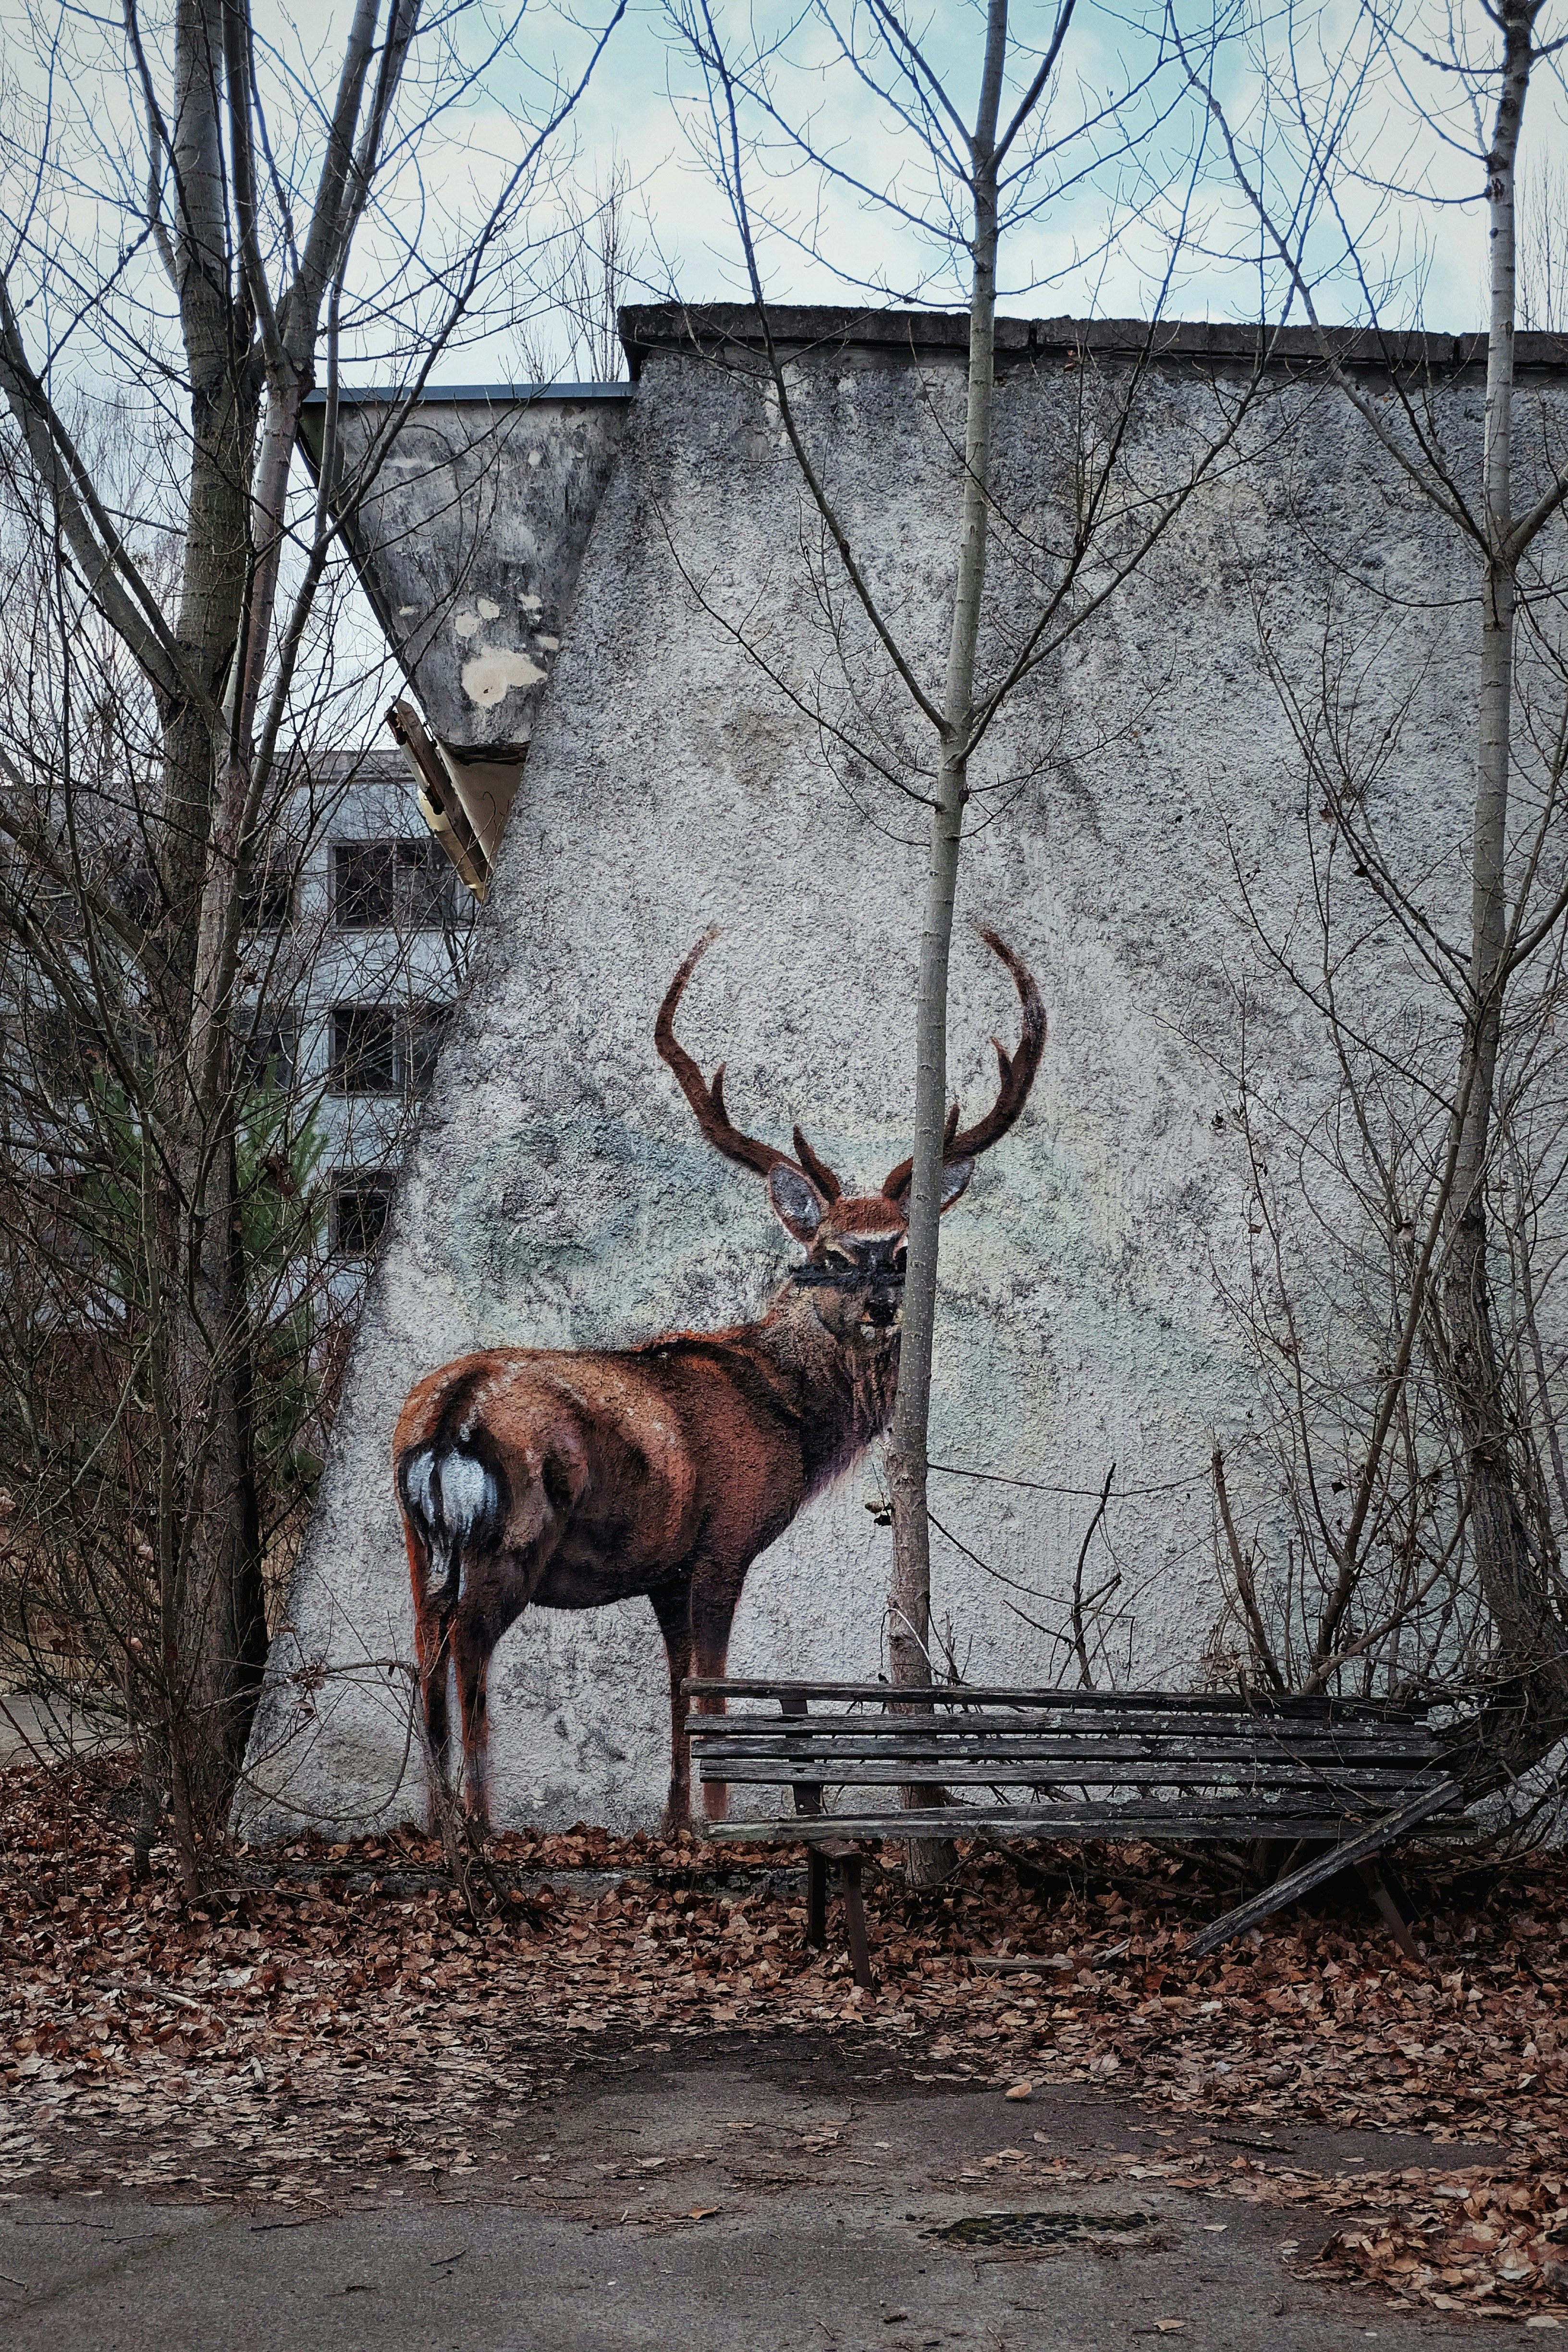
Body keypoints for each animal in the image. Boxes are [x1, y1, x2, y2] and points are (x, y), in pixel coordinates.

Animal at [393, 924, 1045, 1833]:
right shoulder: (723, 1544)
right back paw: (481, 1829)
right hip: (507, 1539)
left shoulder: (666, 1571)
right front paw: (716, 1820)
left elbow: (679, 1694)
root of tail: (447, 1415)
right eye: (830, 1254)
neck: (791, 1415)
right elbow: (712, 1690)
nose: (883, 1307)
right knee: (470, 1657)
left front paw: (677, 1824)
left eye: (903, 1252)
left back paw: (437, 1826)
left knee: (422, 1654)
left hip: (416, 1544)